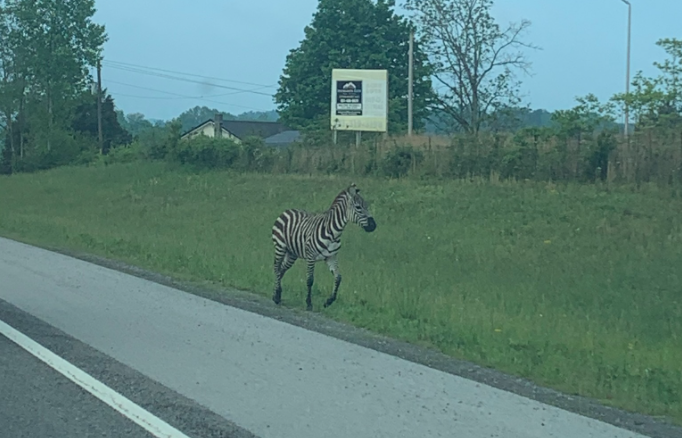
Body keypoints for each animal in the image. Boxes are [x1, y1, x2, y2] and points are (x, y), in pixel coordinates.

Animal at [271, 183, 377, 311]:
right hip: (280, 247)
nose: (374, 226)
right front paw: (309, 303)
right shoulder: (311, 256)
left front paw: (329, 301)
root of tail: (288, 210)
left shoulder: (331, 257)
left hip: (292, 254)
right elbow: (310, 280)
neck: (333, 233)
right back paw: (277, 296)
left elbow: (338, 277)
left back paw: (277, 294)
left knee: (281, 269)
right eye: (358, 207)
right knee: (276, 268)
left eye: (367, 206)